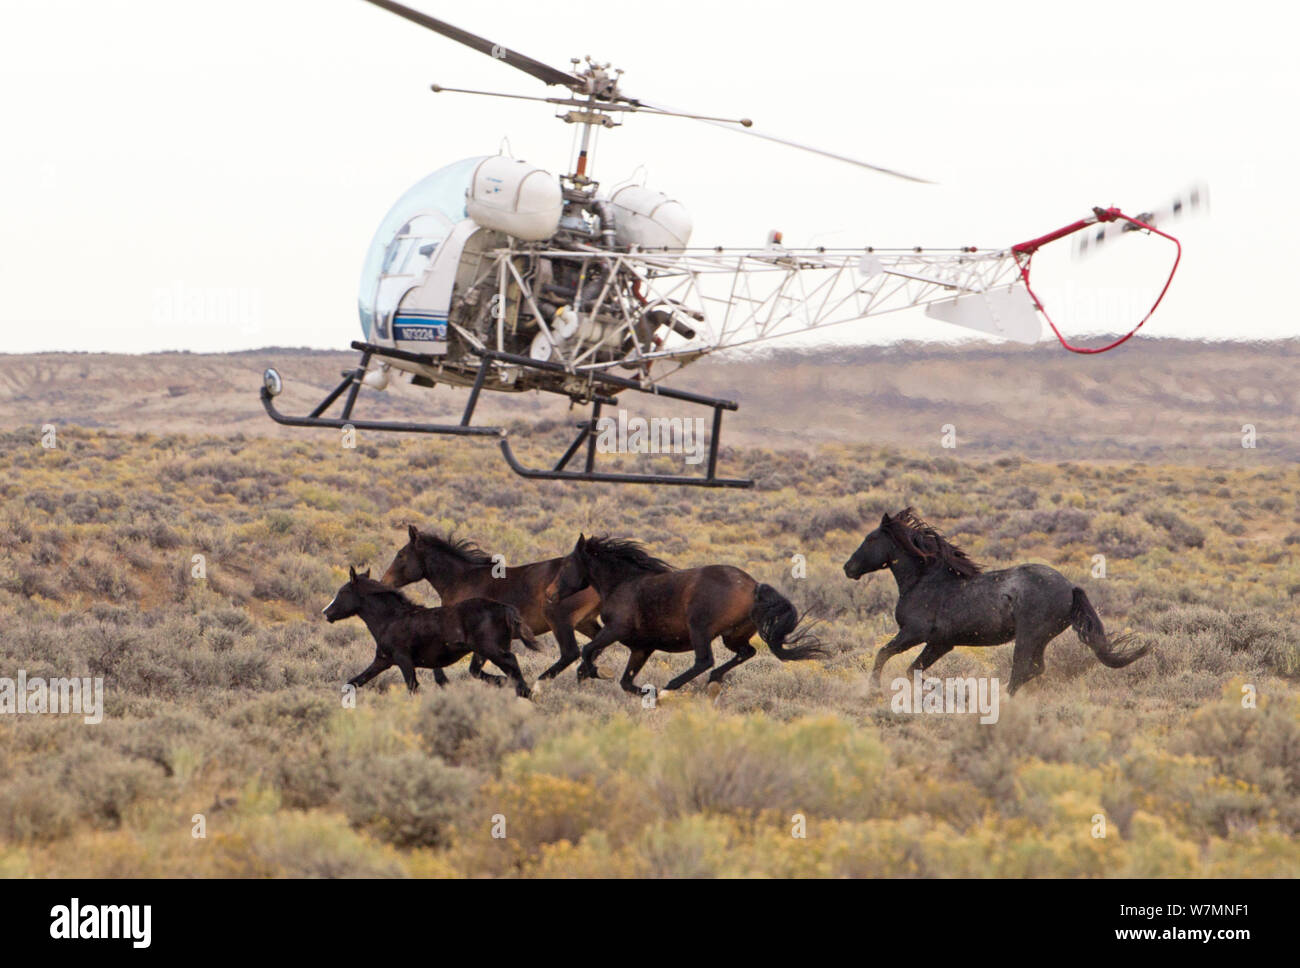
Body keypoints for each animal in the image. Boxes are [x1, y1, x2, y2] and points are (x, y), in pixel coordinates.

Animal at [323, 566, 539, 697]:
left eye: (343, 592)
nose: (326, 613)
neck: (390, 620)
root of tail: (504, 608)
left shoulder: (403, 659)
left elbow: (413, 687)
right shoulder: (382, 661)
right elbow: (354, 682)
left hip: (491, 649)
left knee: (511, 663)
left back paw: (526, 693)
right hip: (487, 651)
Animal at [381, 525, 602, 681]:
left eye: (400, 555)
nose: (385, 582)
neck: (462, 579)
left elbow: (472, 670)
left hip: (559, 620)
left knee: (571, 653)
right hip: (584, 623)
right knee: (595, 645)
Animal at [546, 535, 824, 695]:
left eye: (566, 565)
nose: (549, 594)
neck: (623, 583)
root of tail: (753, 586)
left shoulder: (615, 630)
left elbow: (587, 651)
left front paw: (597, 673)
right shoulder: (642, 648)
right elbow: (626, 681)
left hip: (699, 628)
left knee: (704, 660)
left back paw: (673, 686)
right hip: (732, 636)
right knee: (745, 653)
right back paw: (712, 681)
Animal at [842, 508, 1149, 694]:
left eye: (870, 539)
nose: (848, 568)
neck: (925, 582)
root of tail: (1070, 587)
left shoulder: (914, 633)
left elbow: (884, 654)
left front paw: (874, 689)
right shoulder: (941, 642)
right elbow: (911, 670)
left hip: (1029, 635)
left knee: (1022, 669)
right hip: (1040, 637)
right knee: (1034, 669)